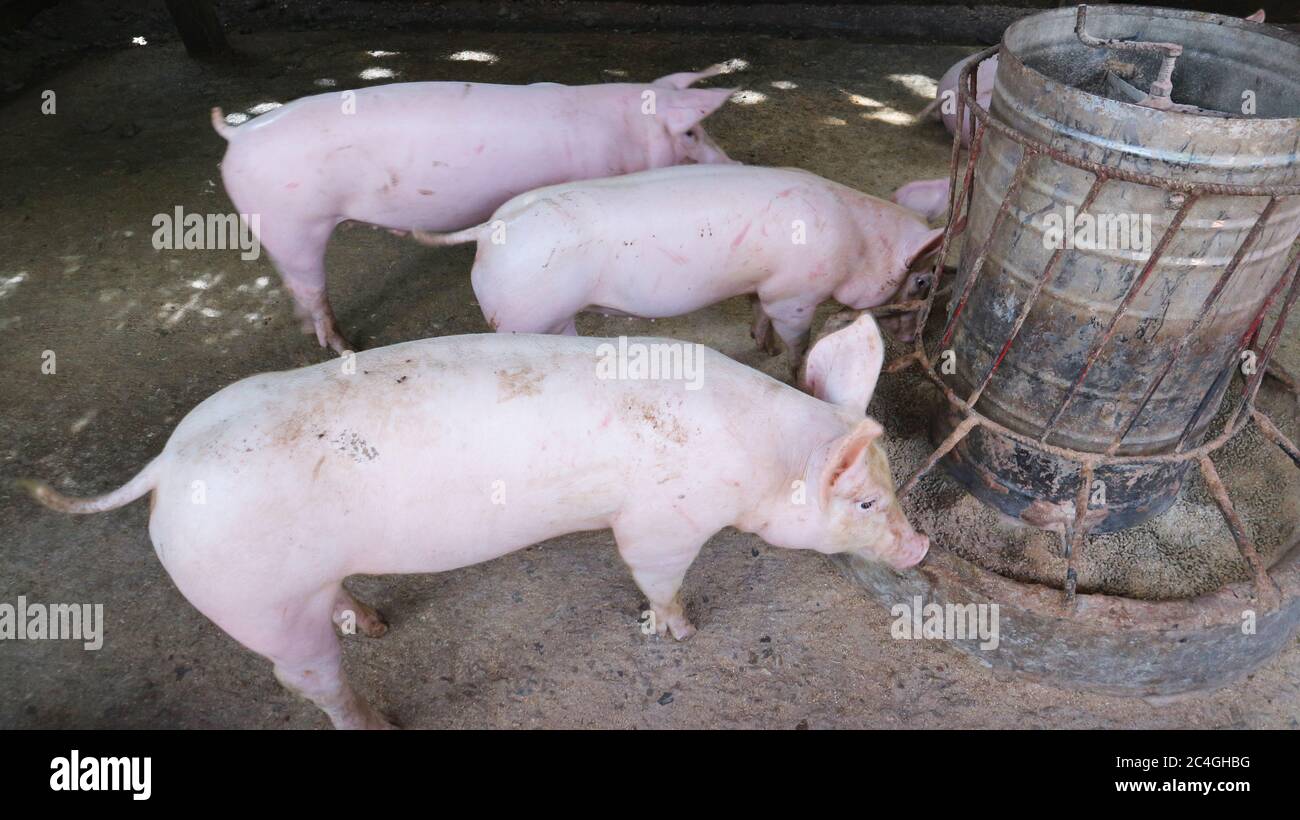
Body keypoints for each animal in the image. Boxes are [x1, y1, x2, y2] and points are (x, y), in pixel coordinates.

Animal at [21, 321, 927, 729]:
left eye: (889, 486)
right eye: (866, 502)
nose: (921, 545)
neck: (762, 455)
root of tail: (167, 466)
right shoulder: (660, 520)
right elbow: (656, 576)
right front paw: (683, 631)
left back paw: (372, 621)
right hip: (254, 598)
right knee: (301, 677)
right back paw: (378, 720)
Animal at [211, 68, 736, 353]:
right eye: (691, 133)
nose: (734, 164)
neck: (624, 130)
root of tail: (238, 134)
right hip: (295, 225)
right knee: (310, 288)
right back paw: (345, 347)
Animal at [411, 164, 945, 373]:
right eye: (922, 280)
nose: (918, 338)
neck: (858, 243)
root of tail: (491, 228)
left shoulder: (764, 285)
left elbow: (758, 311)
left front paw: (763, 345)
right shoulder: (793, 295)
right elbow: (798, 337)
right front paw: (792, 365)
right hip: (528, 315)